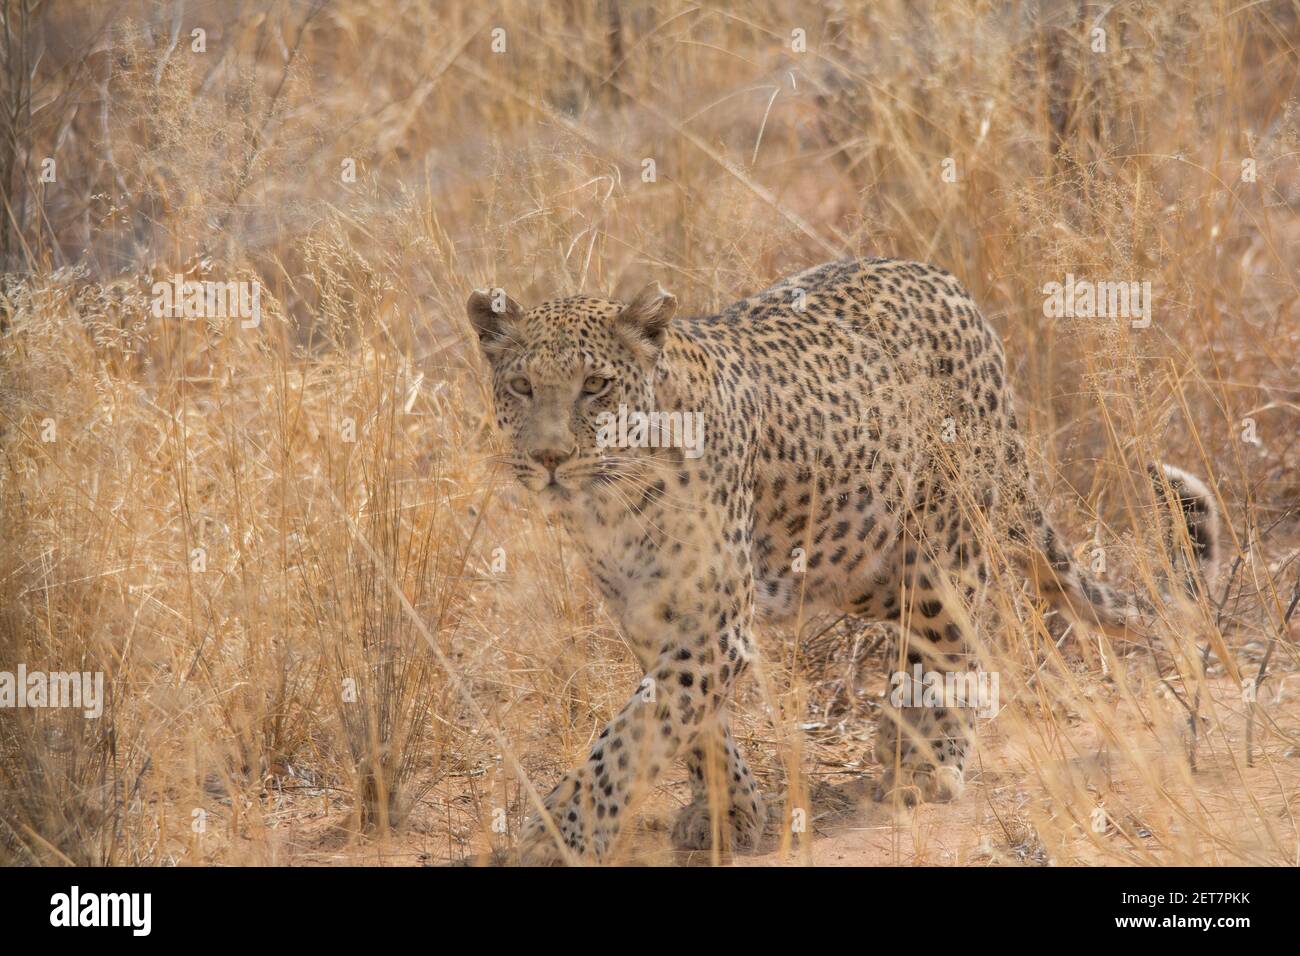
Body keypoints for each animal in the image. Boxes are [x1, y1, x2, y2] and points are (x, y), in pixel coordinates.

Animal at [466, 257, 1219, 865]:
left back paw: (926, 765)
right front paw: (729, 812)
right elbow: (688, 724)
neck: (610, 499)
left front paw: (556, 833)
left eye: (595, 385)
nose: (549, 458)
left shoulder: (712, 626)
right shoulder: (654, 618)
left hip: (943, 542)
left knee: (955, 641)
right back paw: (894, 739)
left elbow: (626, 740)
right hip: (860, 557)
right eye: (522, 387)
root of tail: (956, 290)